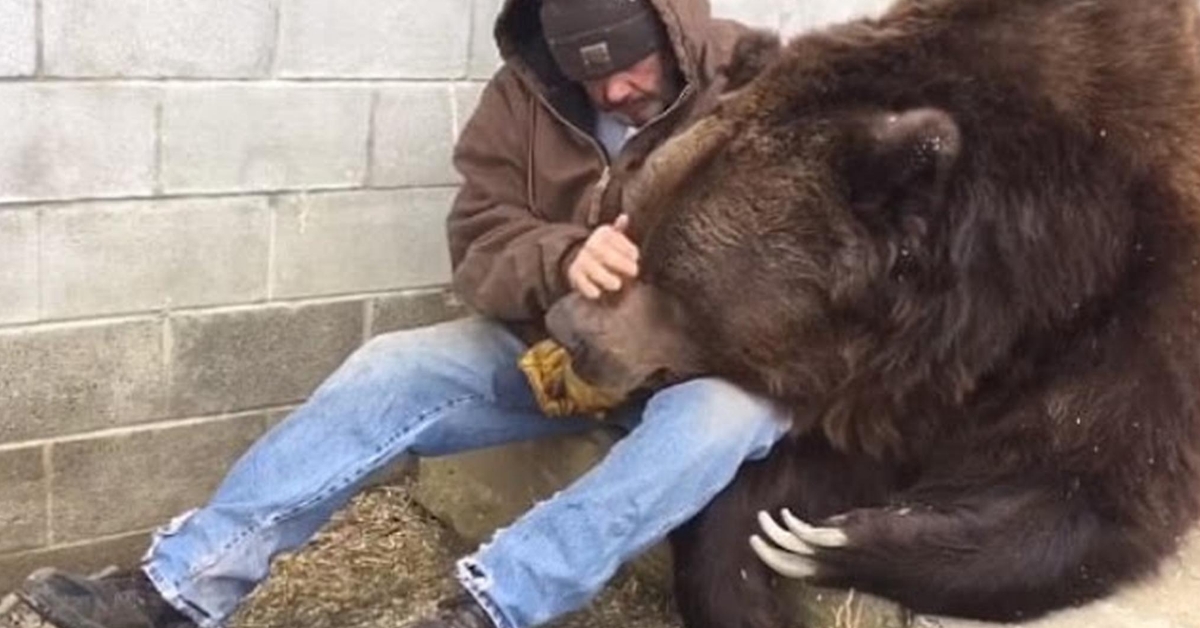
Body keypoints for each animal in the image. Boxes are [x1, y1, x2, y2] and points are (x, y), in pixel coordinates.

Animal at [542, 0, 1200, 626]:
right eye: (636, 222)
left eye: (674, 282)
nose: (568, 327)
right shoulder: (887, 368)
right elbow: (797, 470)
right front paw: (757, 563)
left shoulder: (1139, 306)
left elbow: (1088, 485)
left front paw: (829, 541)